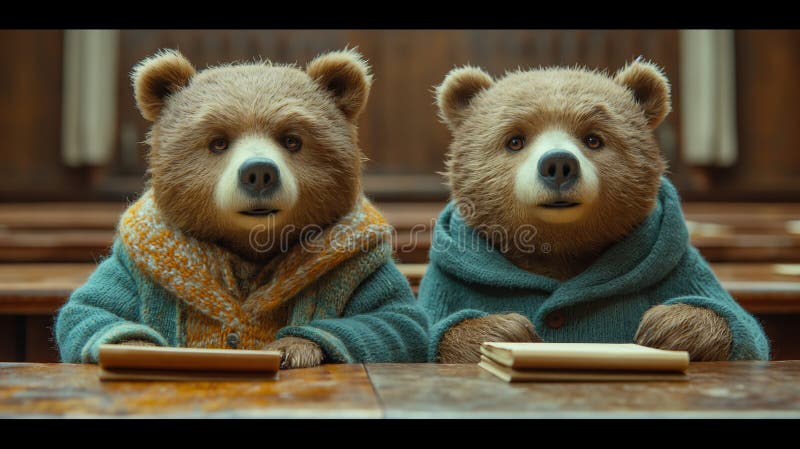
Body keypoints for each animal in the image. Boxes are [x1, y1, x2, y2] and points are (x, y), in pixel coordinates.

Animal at [55, 48, 429, 368]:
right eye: (218, 142)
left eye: (292, 139)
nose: (259, 172)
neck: (251, 248)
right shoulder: (139, 257)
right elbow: (92, 308)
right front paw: (140, 347)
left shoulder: (360, 262)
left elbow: (392, 319)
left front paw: (291, 348)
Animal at [418, 60, 770, 364]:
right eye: (515, 140)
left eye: (594, 139)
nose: (558, 164)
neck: (559, 248)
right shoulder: (454, 281)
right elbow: (432, 325)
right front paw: (504, 330)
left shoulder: (677, 267)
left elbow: (744, 327)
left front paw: (669, 327)